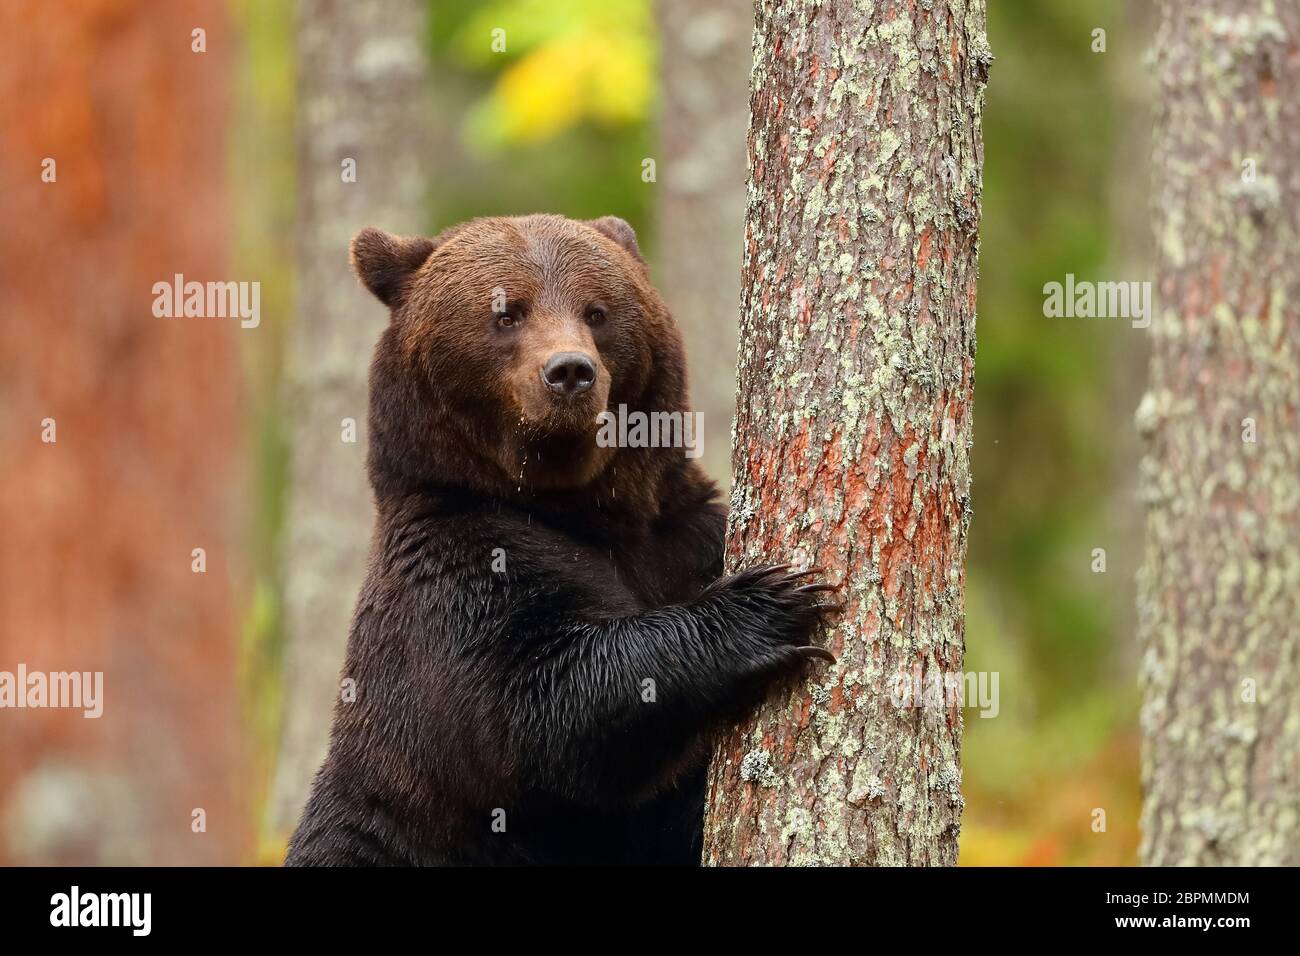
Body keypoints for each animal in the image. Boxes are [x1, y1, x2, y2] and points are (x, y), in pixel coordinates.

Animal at [285, 213, 837, 866]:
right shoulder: (456, 571)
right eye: (506, 313)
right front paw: (773, 604)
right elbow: (539, 703)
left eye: (596, 311)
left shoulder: (682, 534)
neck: (578, 510)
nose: (570, 370)